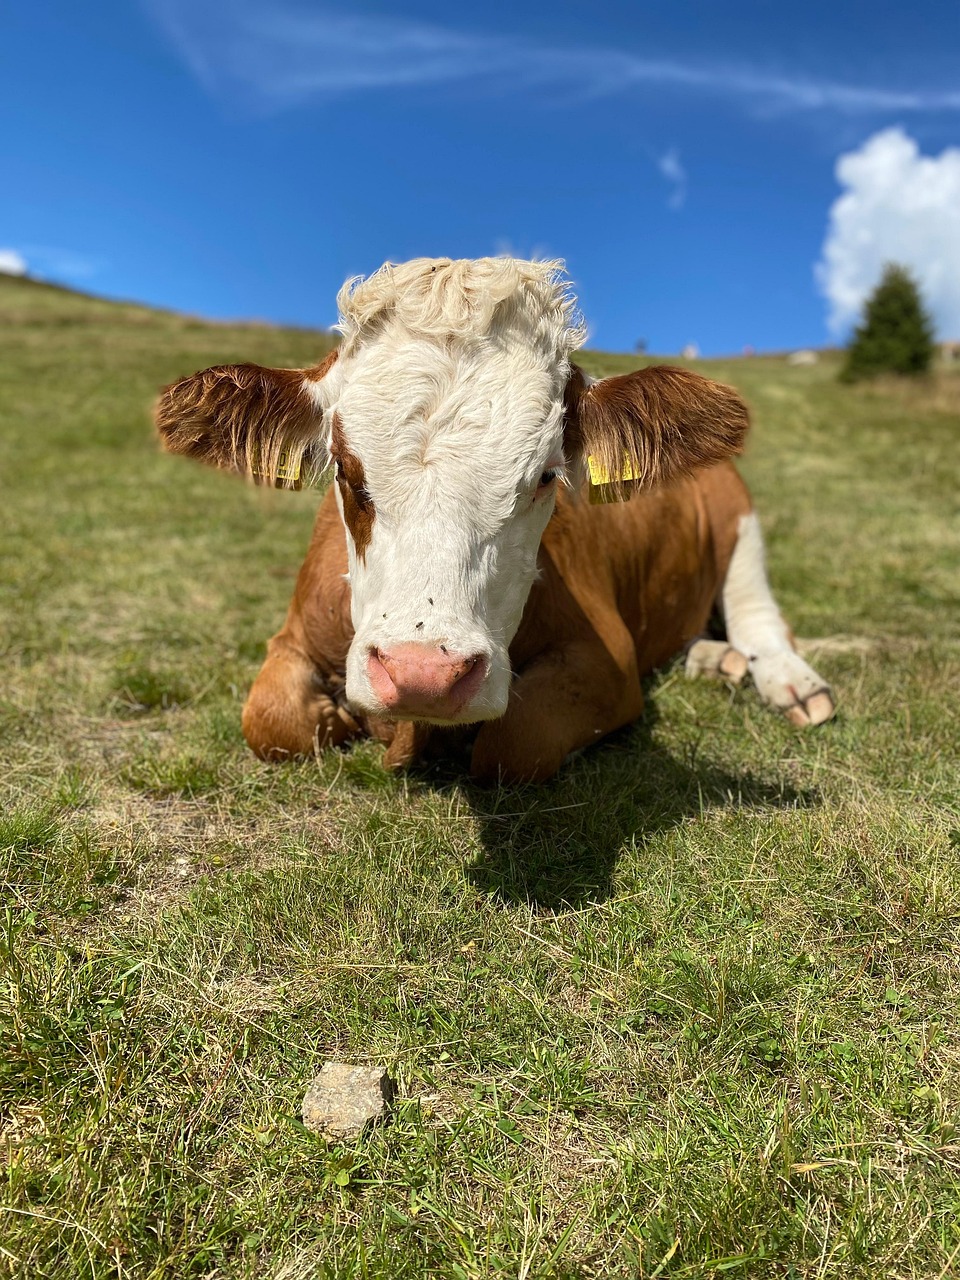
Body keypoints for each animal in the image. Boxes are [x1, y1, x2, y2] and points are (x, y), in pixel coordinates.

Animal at [155, 257, 834, 783]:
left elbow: (513, 746)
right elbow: (270, 721)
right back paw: (714, 661)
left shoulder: (606, 660)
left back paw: (793, 684)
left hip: (738, 517)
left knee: (759, 616)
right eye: (345, 470)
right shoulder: (292, 635)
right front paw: (341, 718)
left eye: (546, 476)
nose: (423, 674)